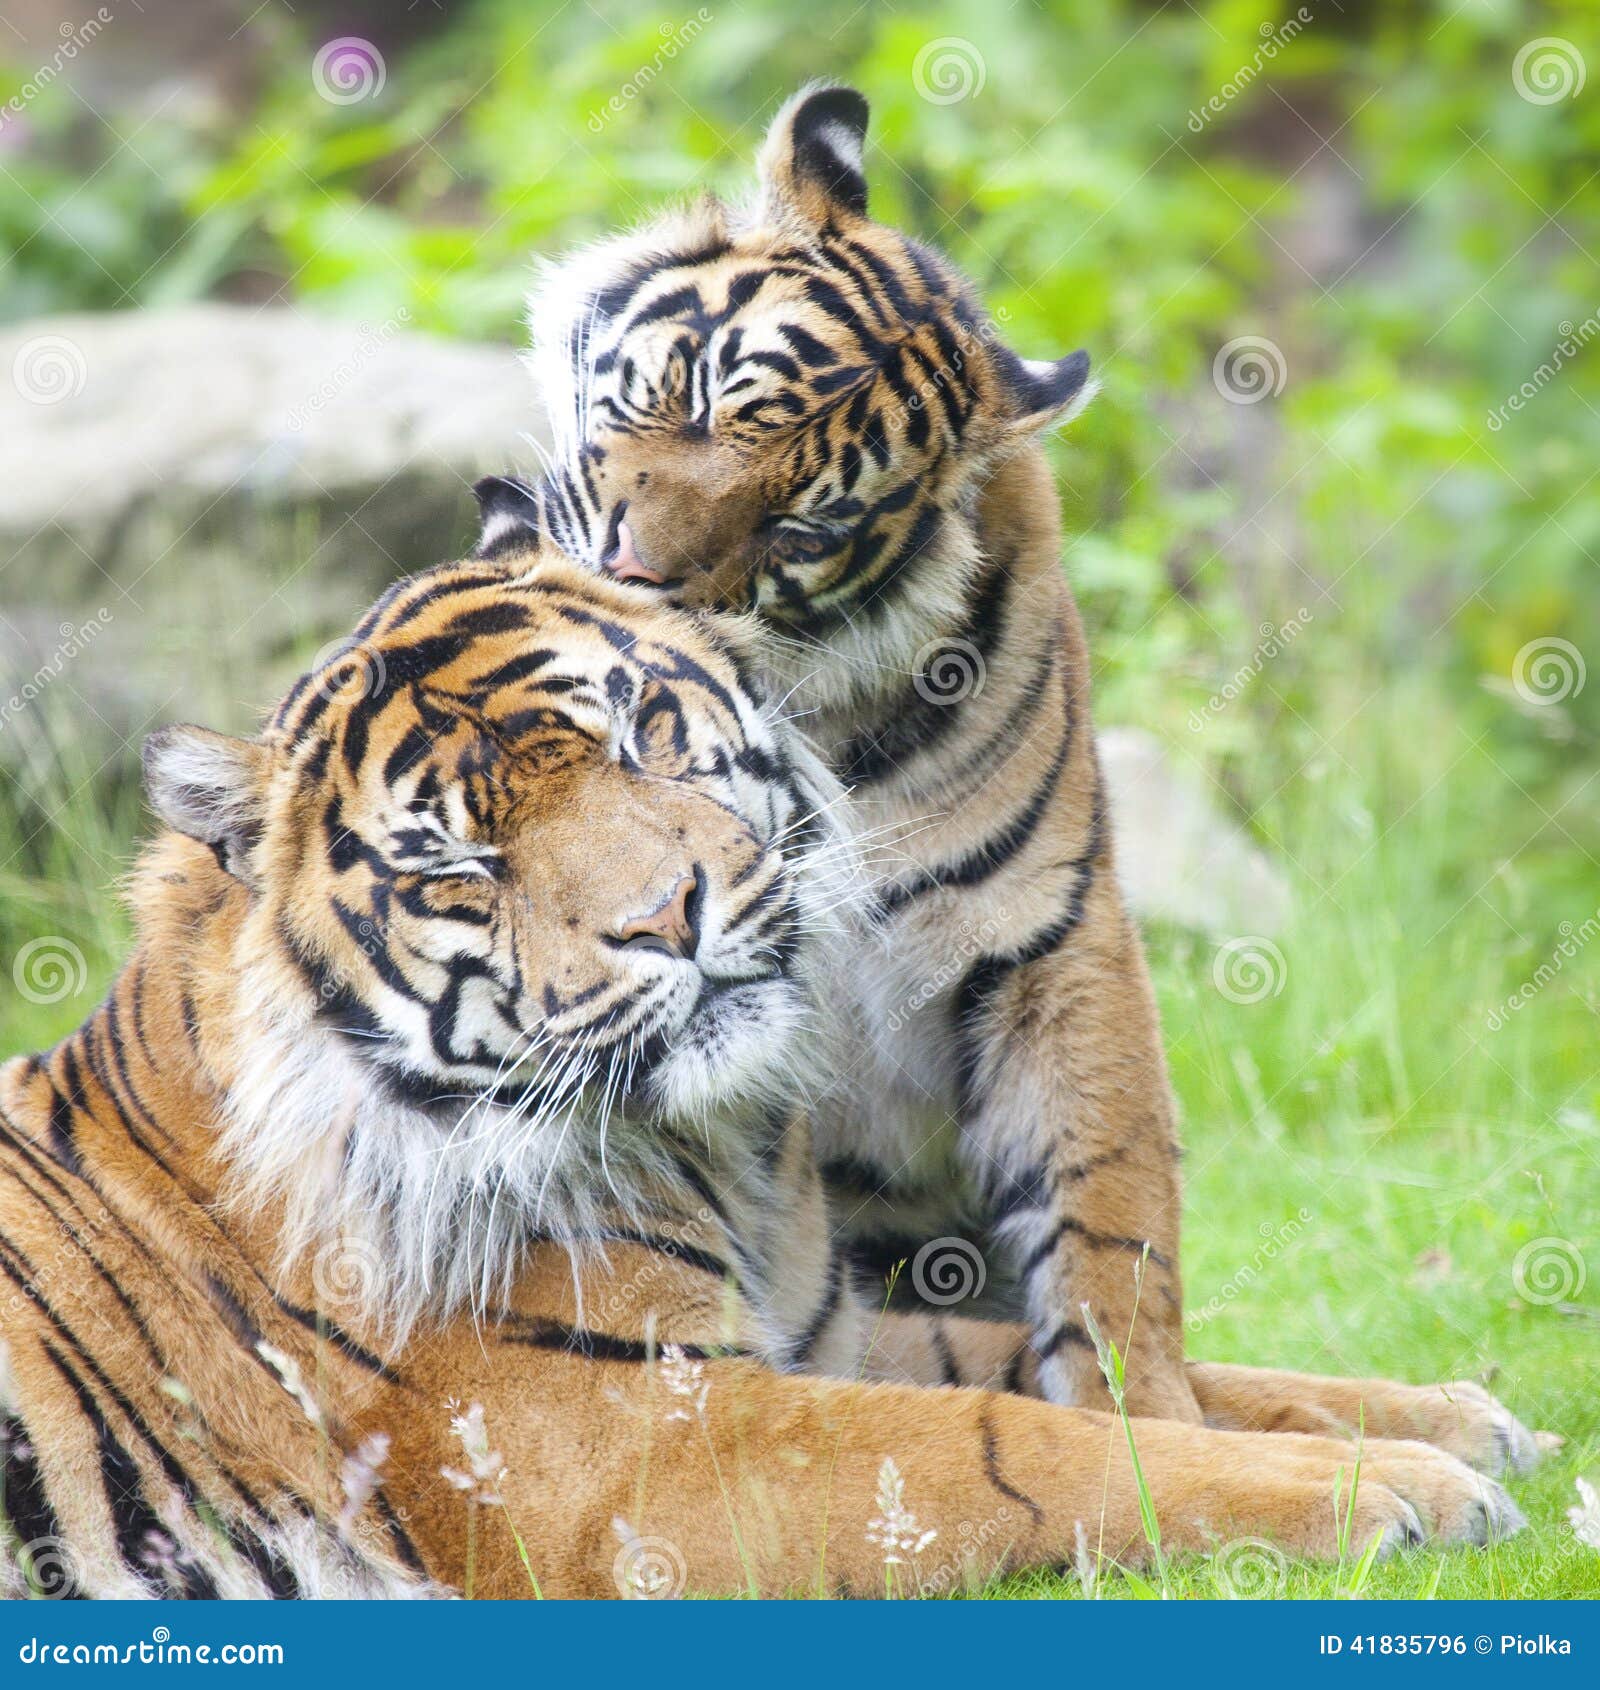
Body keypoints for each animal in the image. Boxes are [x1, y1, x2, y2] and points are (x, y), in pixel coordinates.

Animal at [0, 539, 1524, 1599]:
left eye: (641, 735)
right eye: (457, 866)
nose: (663, 913)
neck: (724, 1149)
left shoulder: (811, 1329)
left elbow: (1082, 1362)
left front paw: (1451, 1415)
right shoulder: (642, 1461)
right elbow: (1014, 1442)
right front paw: (1397, 1484)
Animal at [476, 82, 1545, 1468]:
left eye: (803, 524)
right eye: (701, 394)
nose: (635, 575)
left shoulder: (1049, 940)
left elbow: (1109, 1222)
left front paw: (1143, 1432)